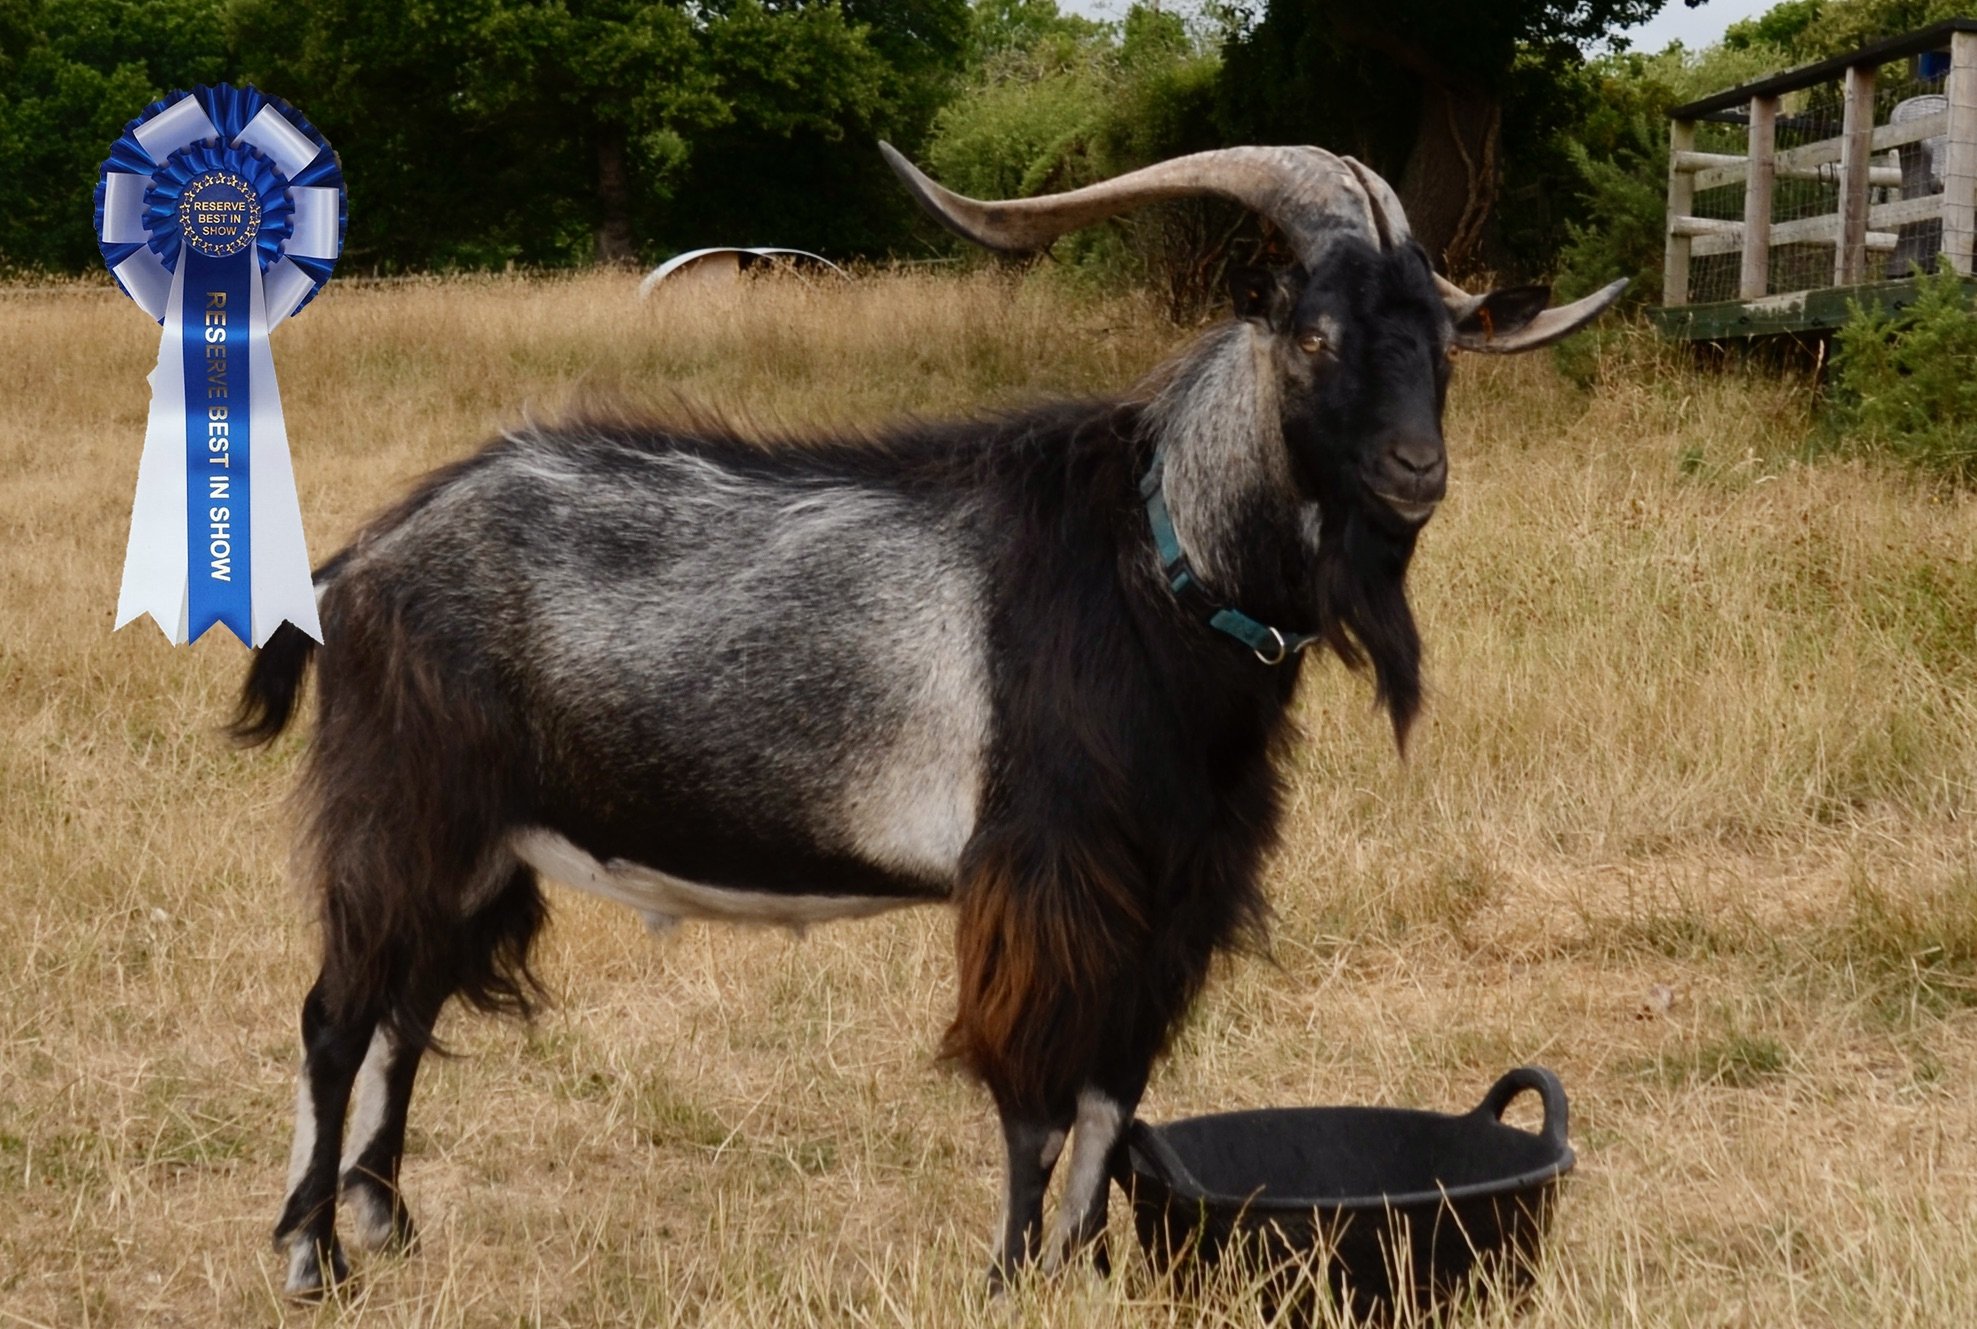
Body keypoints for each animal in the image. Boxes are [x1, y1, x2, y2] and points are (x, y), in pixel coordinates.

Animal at [235, 143, 1625, 1296]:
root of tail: (354, 568)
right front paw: (1010, 1276)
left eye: (1442, 345)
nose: (1415, 473)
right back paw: (310, 1259)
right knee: (337, 1016)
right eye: (1319, 336)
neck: (1156, 565)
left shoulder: (1171, 894)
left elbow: (1115, 1092)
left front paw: (1088, 1266)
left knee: (407, 1012)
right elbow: (1037, 1097)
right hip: (401, 811)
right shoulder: (1043, 876)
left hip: (476, 846)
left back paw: (386, 1225)